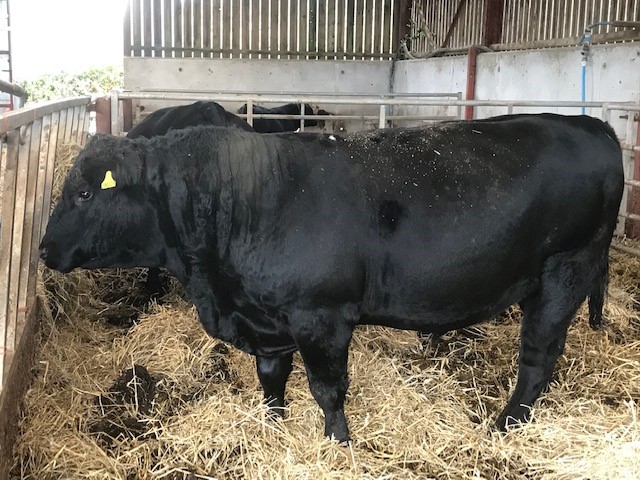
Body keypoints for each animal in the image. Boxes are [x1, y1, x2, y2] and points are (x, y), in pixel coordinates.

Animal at [39, 114, 624, 442]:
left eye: (85, 192)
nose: (43, 250)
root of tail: (595, 126)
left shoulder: (321, 317)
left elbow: (327, 389)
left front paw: (338, 443)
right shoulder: (267, 321)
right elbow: (271, 379)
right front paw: (272, 426)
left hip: (565, 270)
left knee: (539, 356)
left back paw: (506, 425)